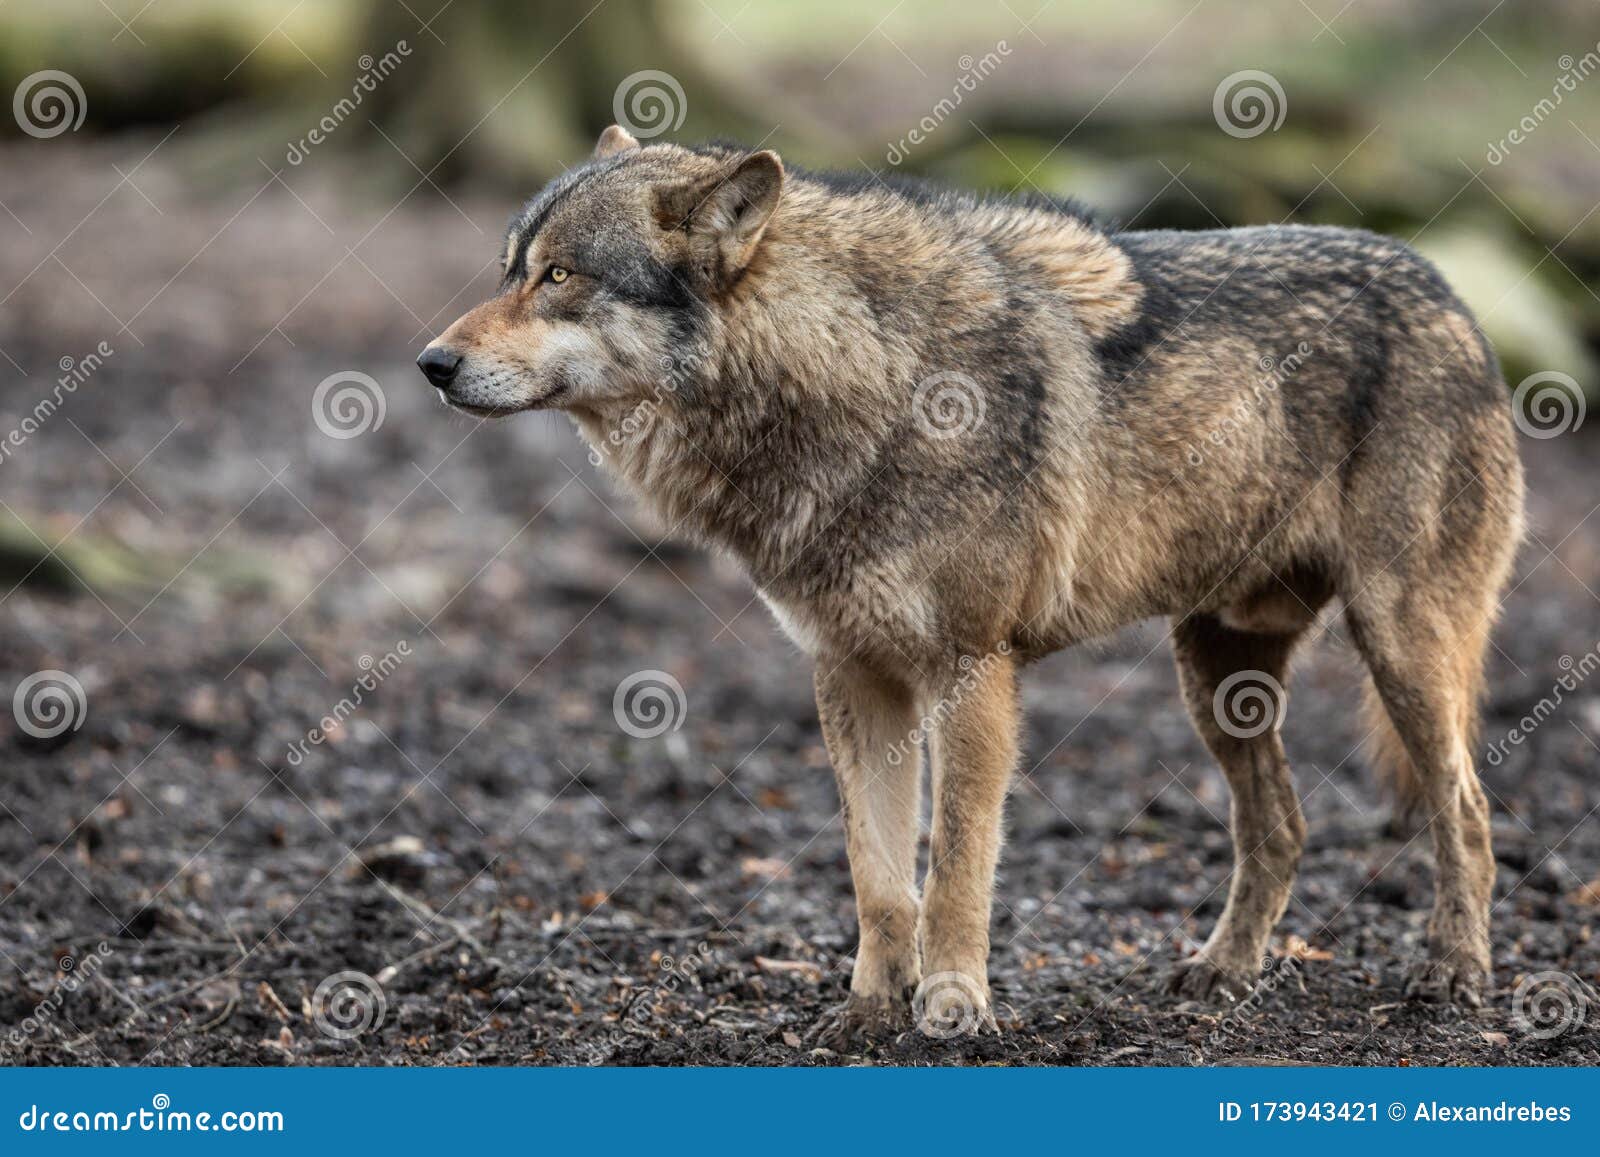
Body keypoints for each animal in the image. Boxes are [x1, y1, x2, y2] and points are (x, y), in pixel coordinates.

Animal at [418, 125, 1525, 1043]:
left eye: (560, 276)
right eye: (512, 270)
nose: (431, 362)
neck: (859, 380)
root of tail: (1451, 295)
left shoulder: (972, 672)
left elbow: (953, 868)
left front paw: (953, 1009)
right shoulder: (853, 675)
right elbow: (878, 878)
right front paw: (869, 1013)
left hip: (1399, 649)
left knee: (1467, 810)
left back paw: (1453, 976)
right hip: (1217, 676)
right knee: (1283, 827)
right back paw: (1224, 972)